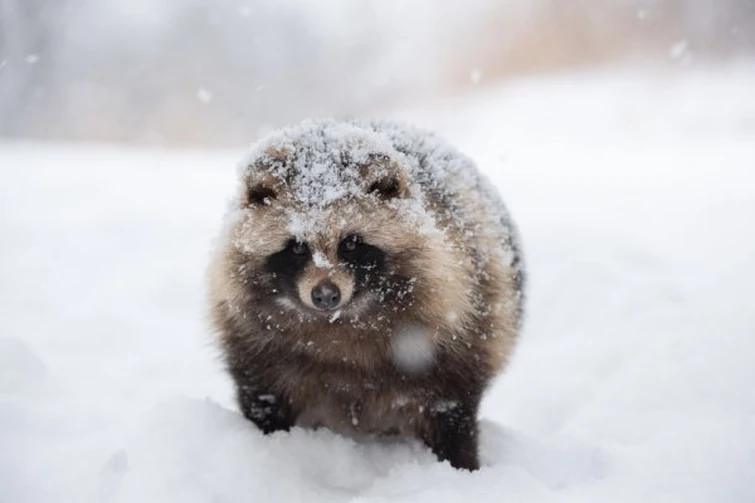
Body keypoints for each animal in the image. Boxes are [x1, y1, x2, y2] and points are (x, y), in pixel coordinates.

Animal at [207, 119, 524, 471]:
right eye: (297, 247)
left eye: (351, 243)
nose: (325, 295)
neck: (338, 325)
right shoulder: (251, 344)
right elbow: (264, 399)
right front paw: (267, 446)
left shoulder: (461, 326)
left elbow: (451, 407)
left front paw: (460, 465)